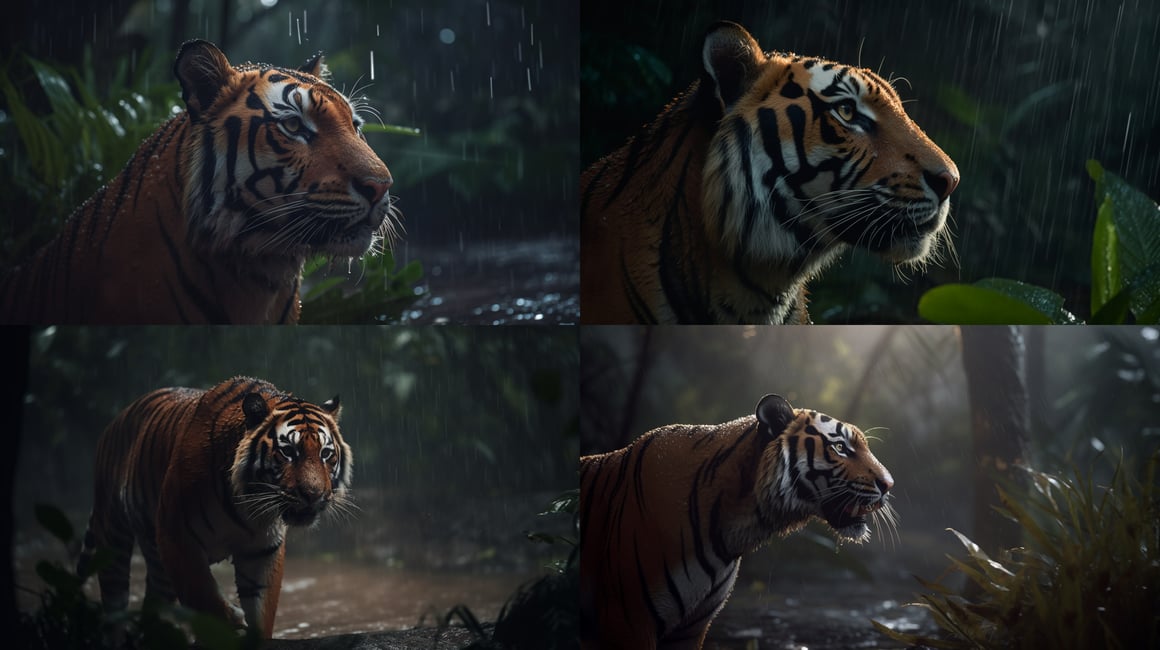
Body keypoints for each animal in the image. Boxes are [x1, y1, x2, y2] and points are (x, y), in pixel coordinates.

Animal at [75, 376, 353, 638]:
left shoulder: (263, 550)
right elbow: (204, 598)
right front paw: (231, 621)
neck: (248, 505)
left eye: (326, 453)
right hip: (114, 537)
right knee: (115, 607)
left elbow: (262, 610)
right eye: (288, 452)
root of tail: (115, 420)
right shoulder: (176, 537)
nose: (313, 495)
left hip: (157, 563)